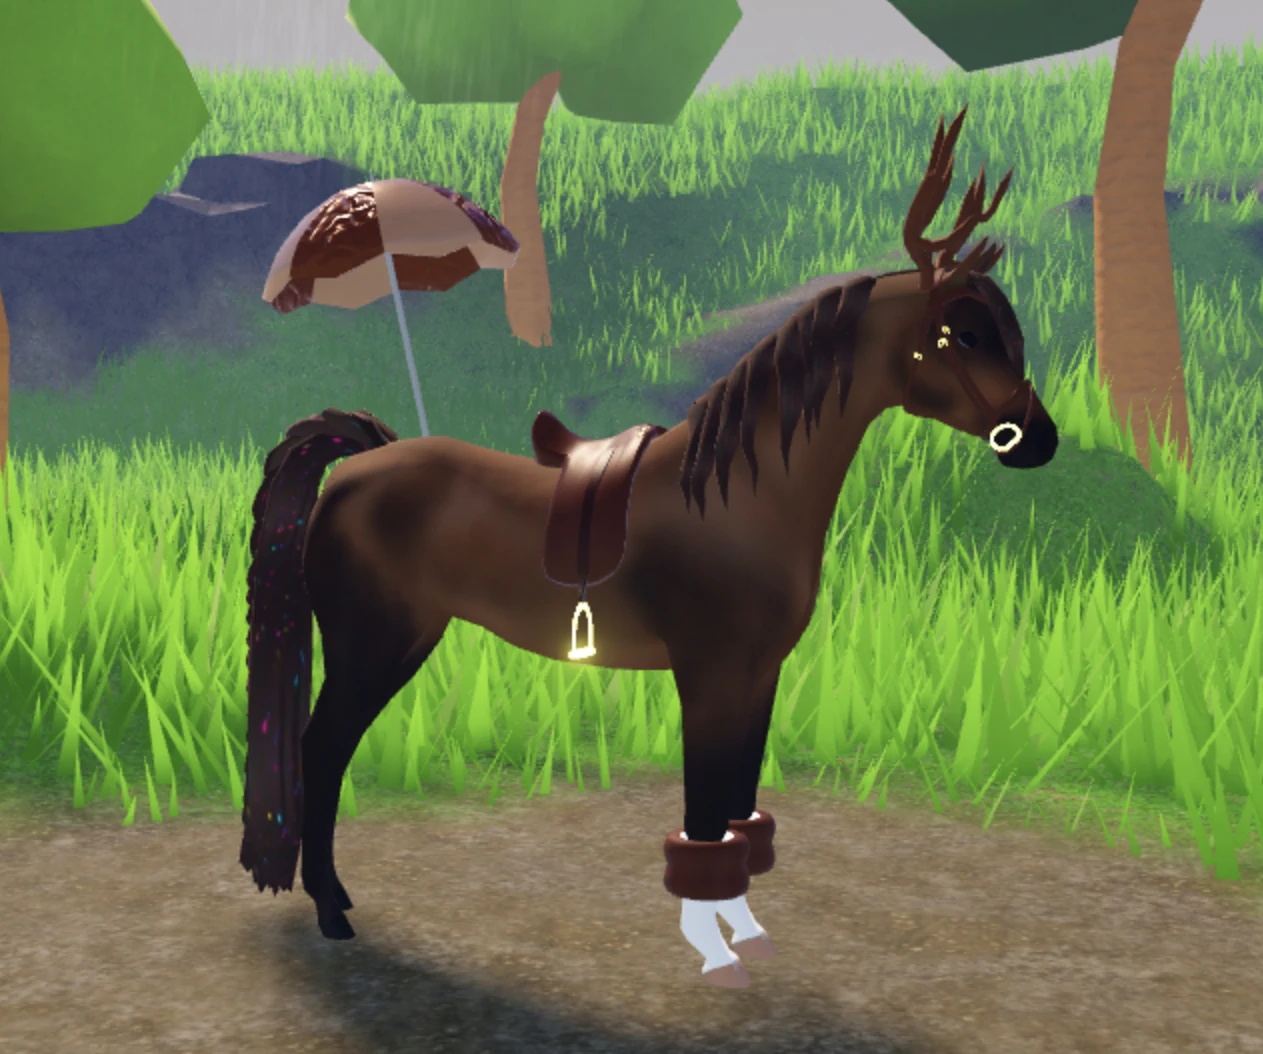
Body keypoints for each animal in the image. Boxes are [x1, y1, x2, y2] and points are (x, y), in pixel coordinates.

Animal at [239, 106, 1058, 989]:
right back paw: (331, 913)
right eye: (963, 334)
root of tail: (361, 462)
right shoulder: (708, 676)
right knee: (322, 753)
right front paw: (713, 948)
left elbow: (738, 810)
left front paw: (747, 931)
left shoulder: (758, 675)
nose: (1037, 441)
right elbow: (702, 816)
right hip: (375, 645)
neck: (738, 497)